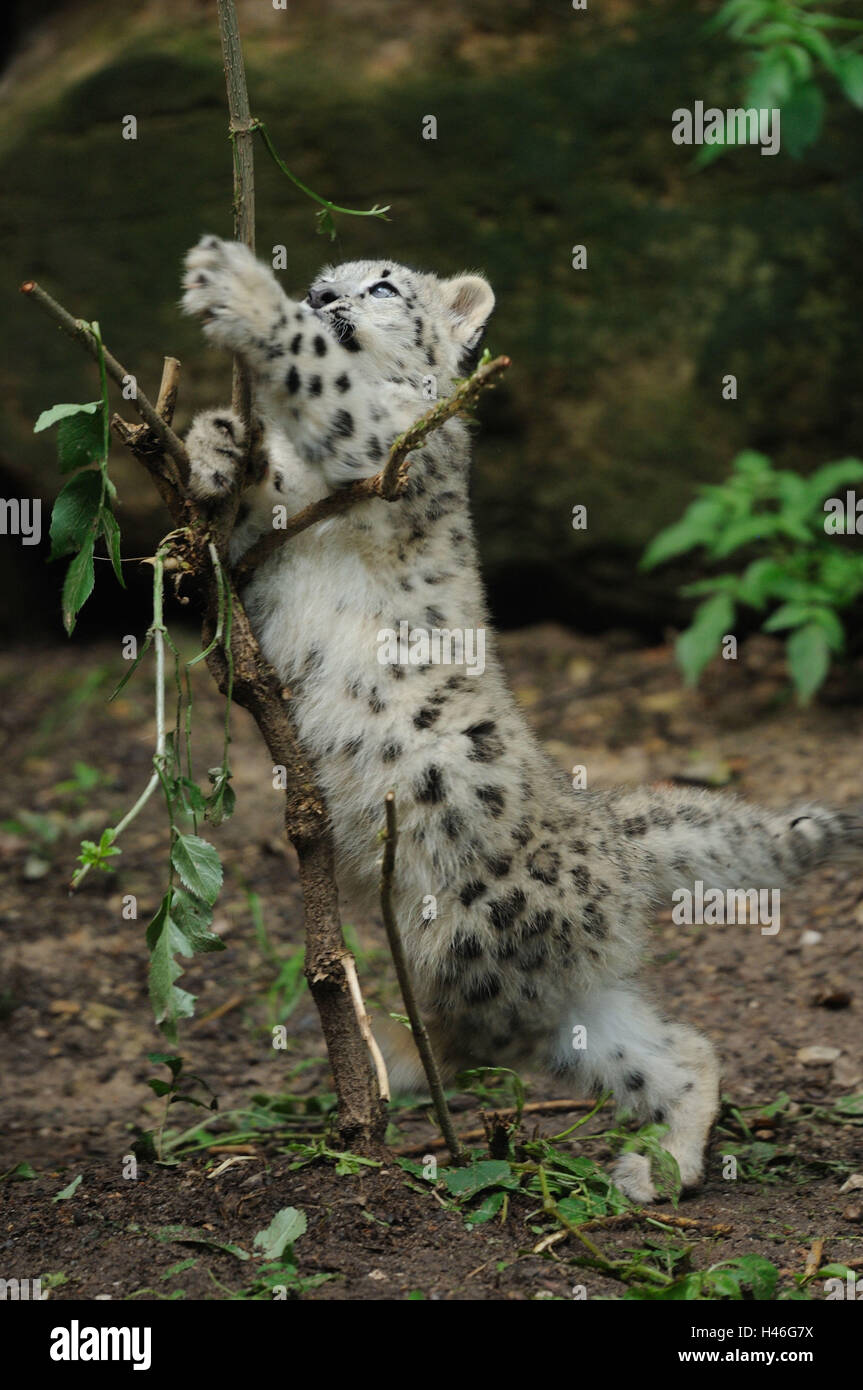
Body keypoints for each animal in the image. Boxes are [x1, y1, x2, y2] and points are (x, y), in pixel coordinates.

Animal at [181, 235, 862, 1203]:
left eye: (379, 286)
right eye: (324, 279)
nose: (319, 297)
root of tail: (606, 837)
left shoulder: (395, 451)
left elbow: (330, 386)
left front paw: (243, 295)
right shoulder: (269, 533)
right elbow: (254, 496)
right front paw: (215, 440)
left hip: (482, 938)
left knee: (478, 1038)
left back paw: (394, 1064)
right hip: (555, 988)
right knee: (668, 1050)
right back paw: (659, 1167)